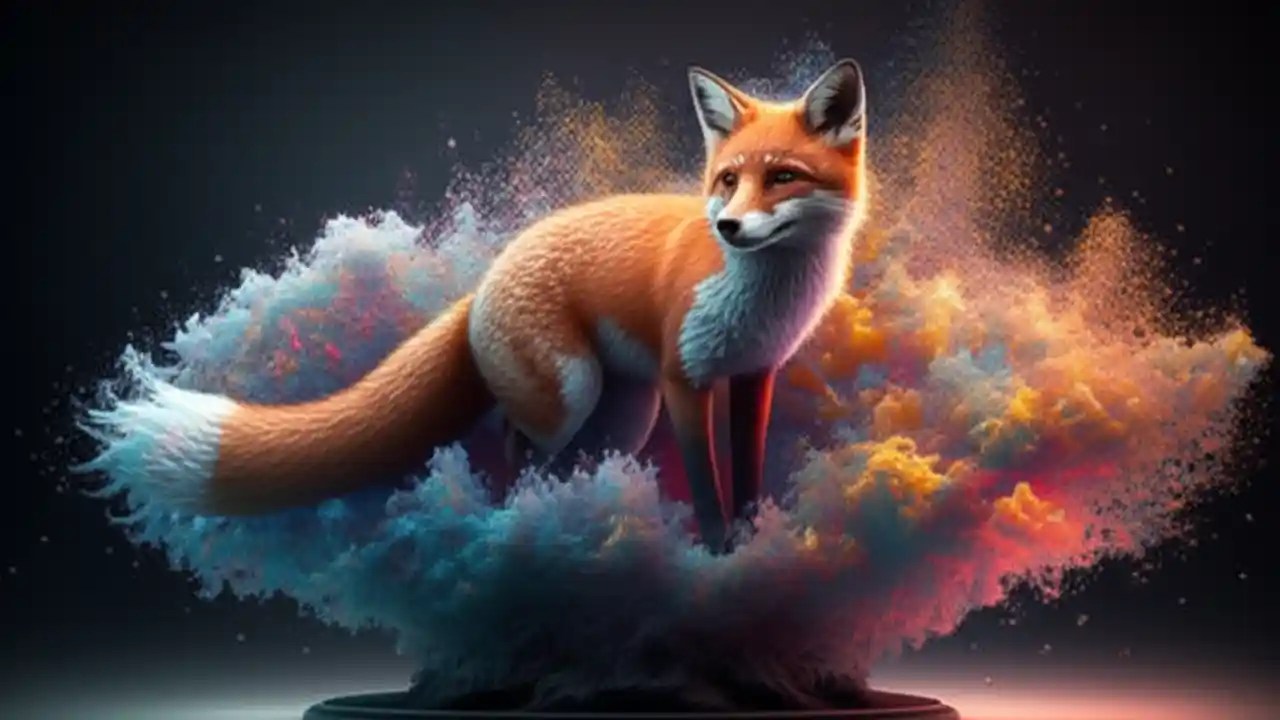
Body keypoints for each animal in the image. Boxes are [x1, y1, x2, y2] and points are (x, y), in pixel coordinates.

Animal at [93, 59, 868, 551]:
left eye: (783, 178)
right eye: (728, 179)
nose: (727, 227)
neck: (764, 293)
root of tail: (489, 274)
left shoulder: (755, 377)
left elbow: (749, 477)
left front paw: (753, 546)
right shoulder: (687, 381)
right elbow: (706, 488)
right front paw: (714, 556)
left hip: (623, 415)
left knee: (561, 461)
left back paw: (577, 524)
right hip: (574, 395)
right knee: (515, 446)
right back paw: (528, 529)